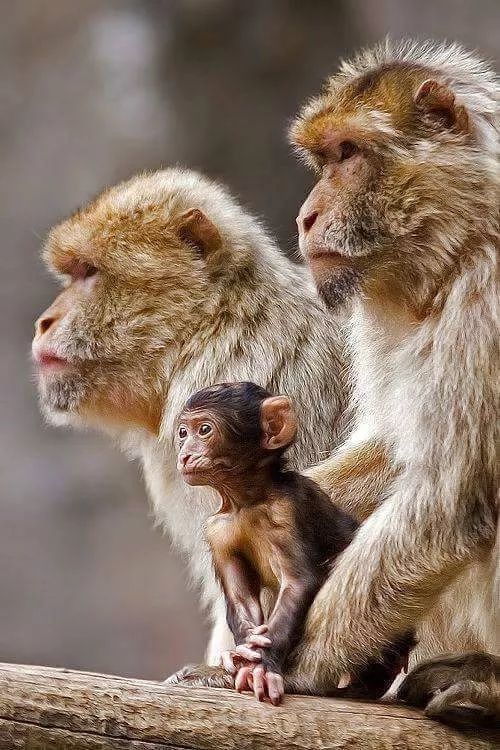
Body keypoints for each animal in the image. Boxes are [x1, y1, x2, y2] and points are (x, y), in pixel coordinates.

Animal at [176, 381, 415, 705]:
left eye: (204, 430)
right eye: (182, 433)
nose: (185, 454)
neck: (247, 501)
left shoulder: (288, 509)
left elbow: (298, 583)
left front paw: (263, 666)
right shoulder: (217, 530)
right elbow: (243, 598)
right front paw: (242, 654)